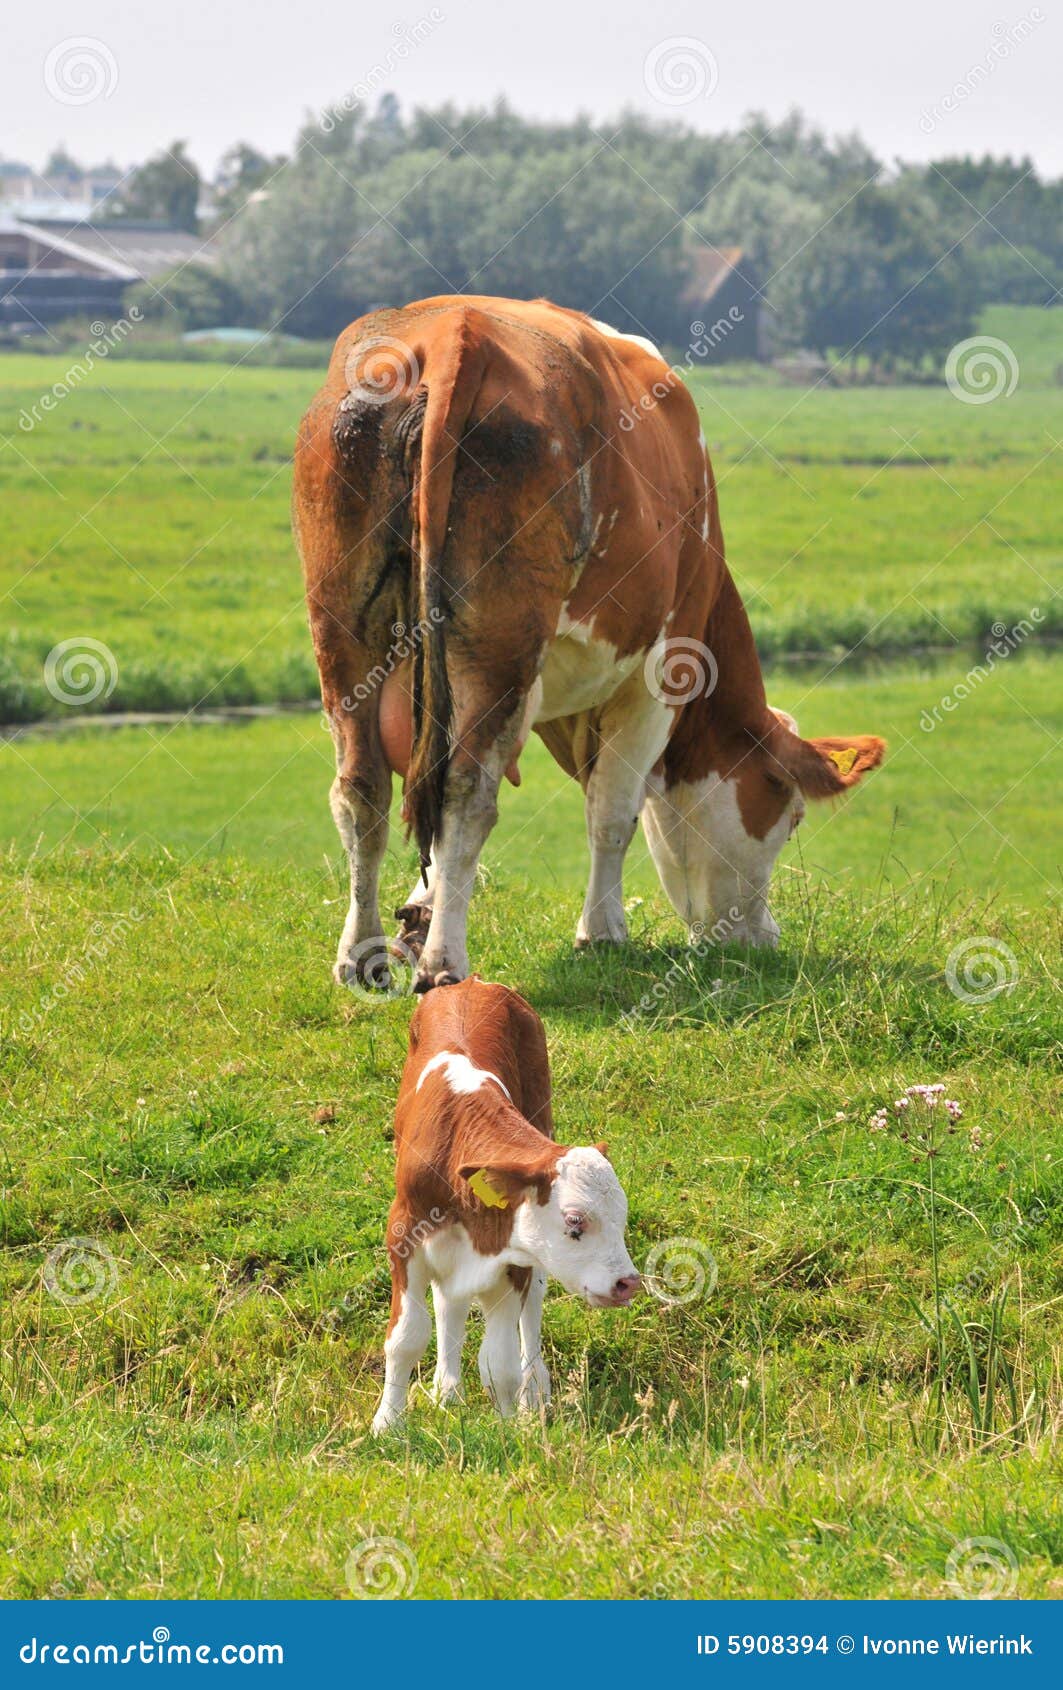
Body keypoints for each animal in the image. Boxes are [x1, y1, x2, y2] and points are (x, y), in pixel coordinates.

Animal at [293, 295, 885, 992]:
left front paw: (421, 912)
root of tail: (452, 328)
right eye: (786, 812)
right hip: (499, 644)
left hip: (344, 630)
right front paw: (601, 932)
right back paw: (444, 965)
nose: (763, 939)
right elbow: (613, 811)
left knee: (363, 790)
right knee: (467, 791)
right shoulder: (662, 674)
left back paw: (361, 955)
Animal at [372, 976, 639, 1432]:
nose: (629, 1283)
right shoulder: (403, 1235)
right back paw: (448, 1390)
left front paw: (509, 1428)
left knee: (530, 1309)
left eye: (621, 1219)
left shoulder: (514, 1255)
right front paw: (387, 1425)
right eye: (574, 1221)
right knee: (448, 1302)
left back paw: (534, 1391)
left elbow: (500, 1363)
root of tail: (470, 981)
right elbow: (406, 1337)